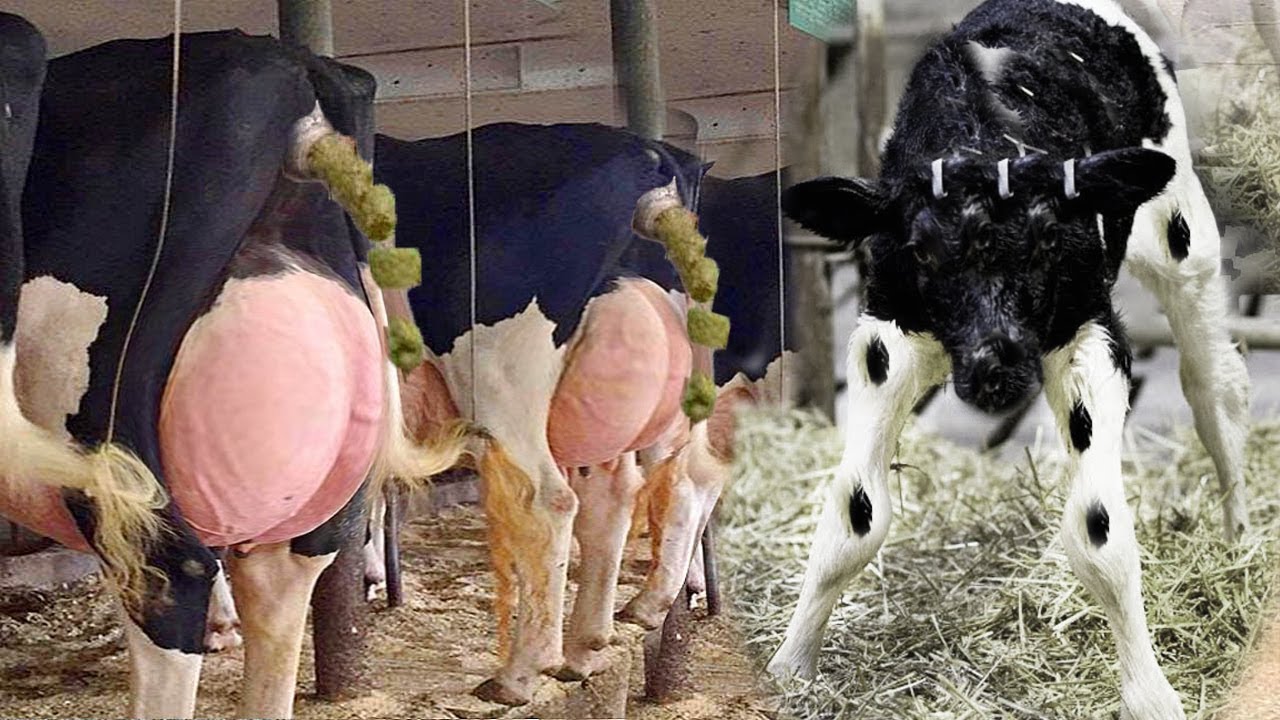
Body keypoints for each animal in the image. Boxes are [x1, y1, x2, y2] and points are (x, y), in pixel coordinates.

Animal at [766, 1, 1250, 718]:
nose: (999, 372)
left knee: (1214, 387)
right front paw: (790, 665)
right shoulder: (886, 339)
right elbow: (854, 517)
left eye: (1050, 238)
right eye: (922, 248)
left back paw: (1240, 539)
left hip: (1181, 234)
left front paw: (1151, 694)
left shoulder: (1091, 337)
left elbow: (1100, 531)